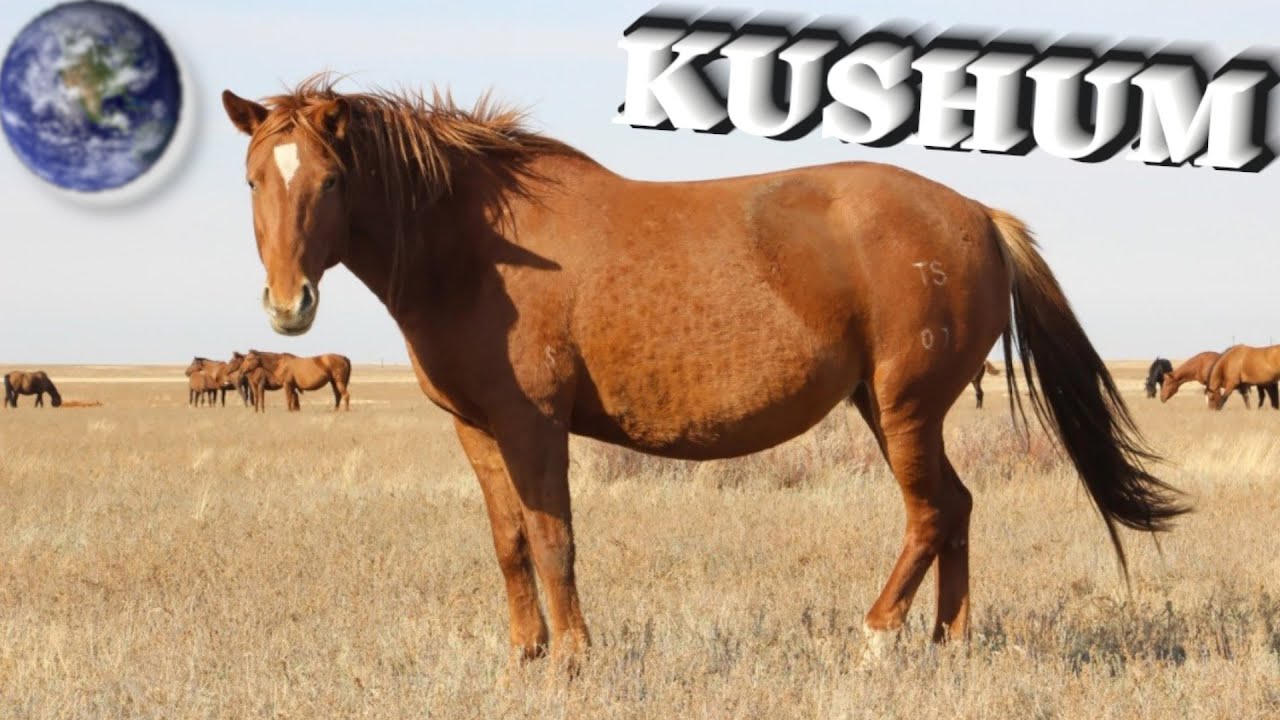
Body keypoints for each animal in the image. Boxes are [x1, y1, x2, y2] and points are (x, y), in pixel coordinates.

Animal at [222, 75, 1185, 665]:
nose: (287, 306)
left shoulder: (533, 425)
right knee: (956, 510)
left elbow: (554, 540)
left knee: (932, 513)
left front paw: (572, 661)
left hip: (906, 406)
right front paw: (524, 657)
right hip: (887, 409)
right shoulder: (475, 426)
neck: (480, 247)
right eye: (253, 180)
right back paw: (948, 643)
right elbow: (509, 544)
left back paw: (876, 638)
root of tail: (980, 215)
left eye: (333, 179)